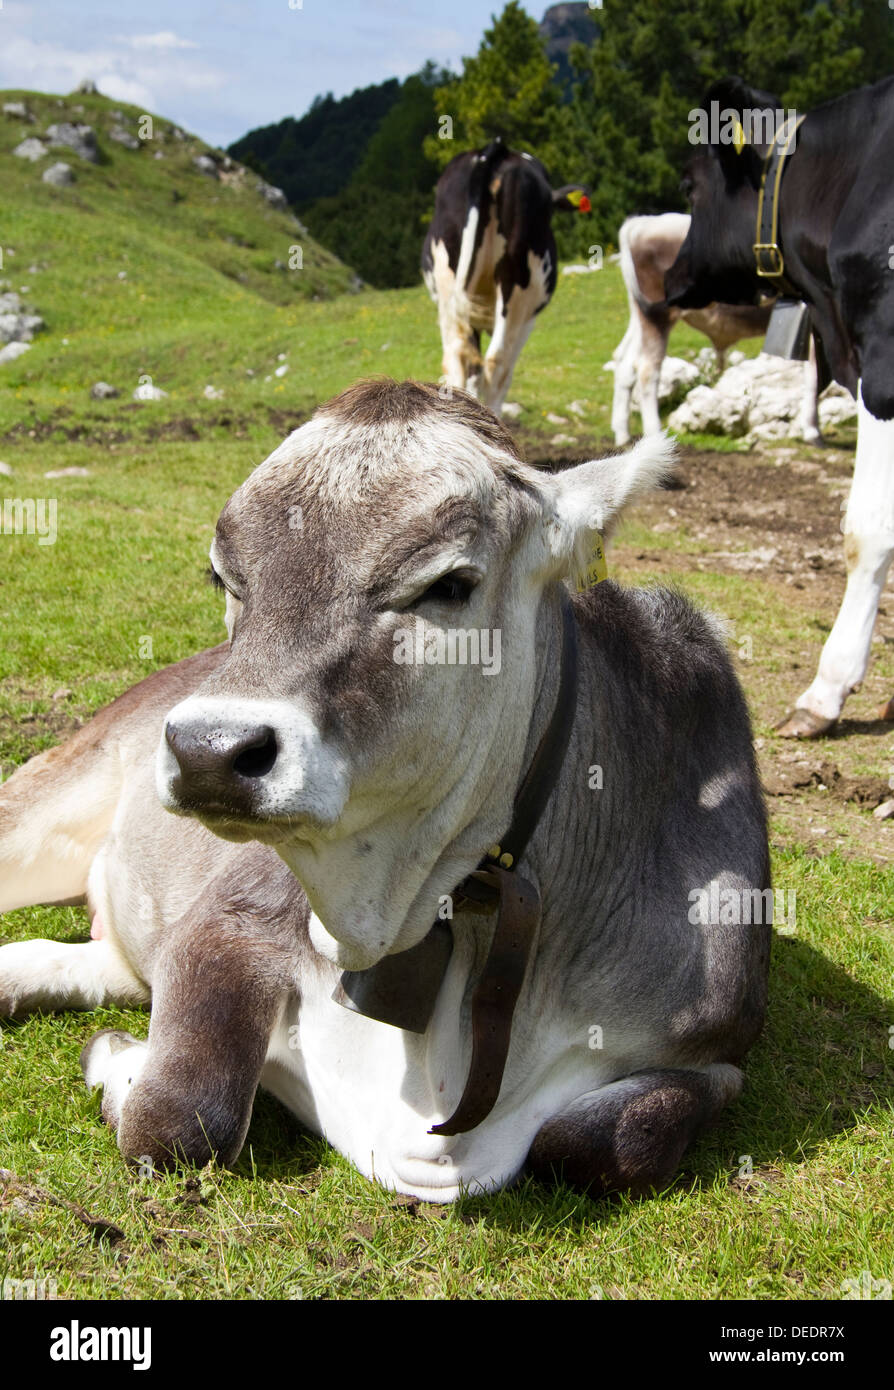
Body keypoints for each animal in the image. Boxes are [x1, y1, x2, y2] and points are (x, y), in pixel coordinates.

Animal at [0, 380, 771, 1201]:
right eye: (225, 578)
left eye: (450, 585)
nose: (208, 751)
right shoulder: (229, 920)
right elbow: (179, 1114)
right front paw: (121, 1064)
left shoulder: (718, 1054)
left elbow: (604, 1143)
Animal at [422, 138, 590, 415]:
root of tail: (496, 148)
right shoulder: (526, 321)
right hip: (518, 290)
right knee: (496, 362)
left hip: (449, 288)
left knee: (457, 357)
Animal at [611, 212, 820, 447]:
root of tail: (641, 223)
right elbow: (814, 379)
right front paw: (811, 430)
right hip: (660, 314)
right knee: (647, 369)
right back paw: (654, 433)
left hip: (641, 316)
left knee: (625, 361)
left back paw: (622, 433)